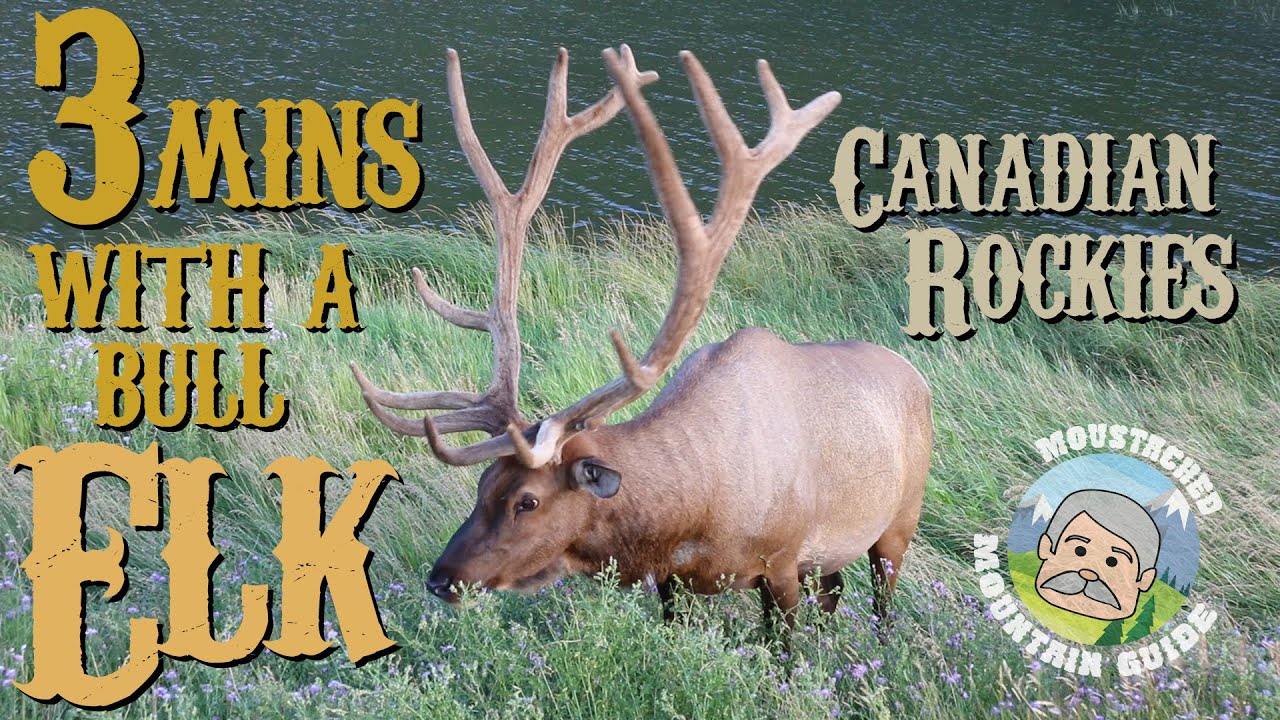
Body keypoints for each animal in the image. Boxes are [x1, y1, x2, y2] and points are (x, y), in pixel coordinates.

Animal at [351, 45, 932, 630]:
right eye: (482, 486)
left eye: (528, 501)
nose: (440, 579)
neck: (695, 514)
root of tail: (913, 372)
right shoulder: (671, 580)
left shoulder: (783, 561)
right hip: (830, 559)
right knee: (834, 592)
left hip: (897, 523)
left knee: (883, 601)